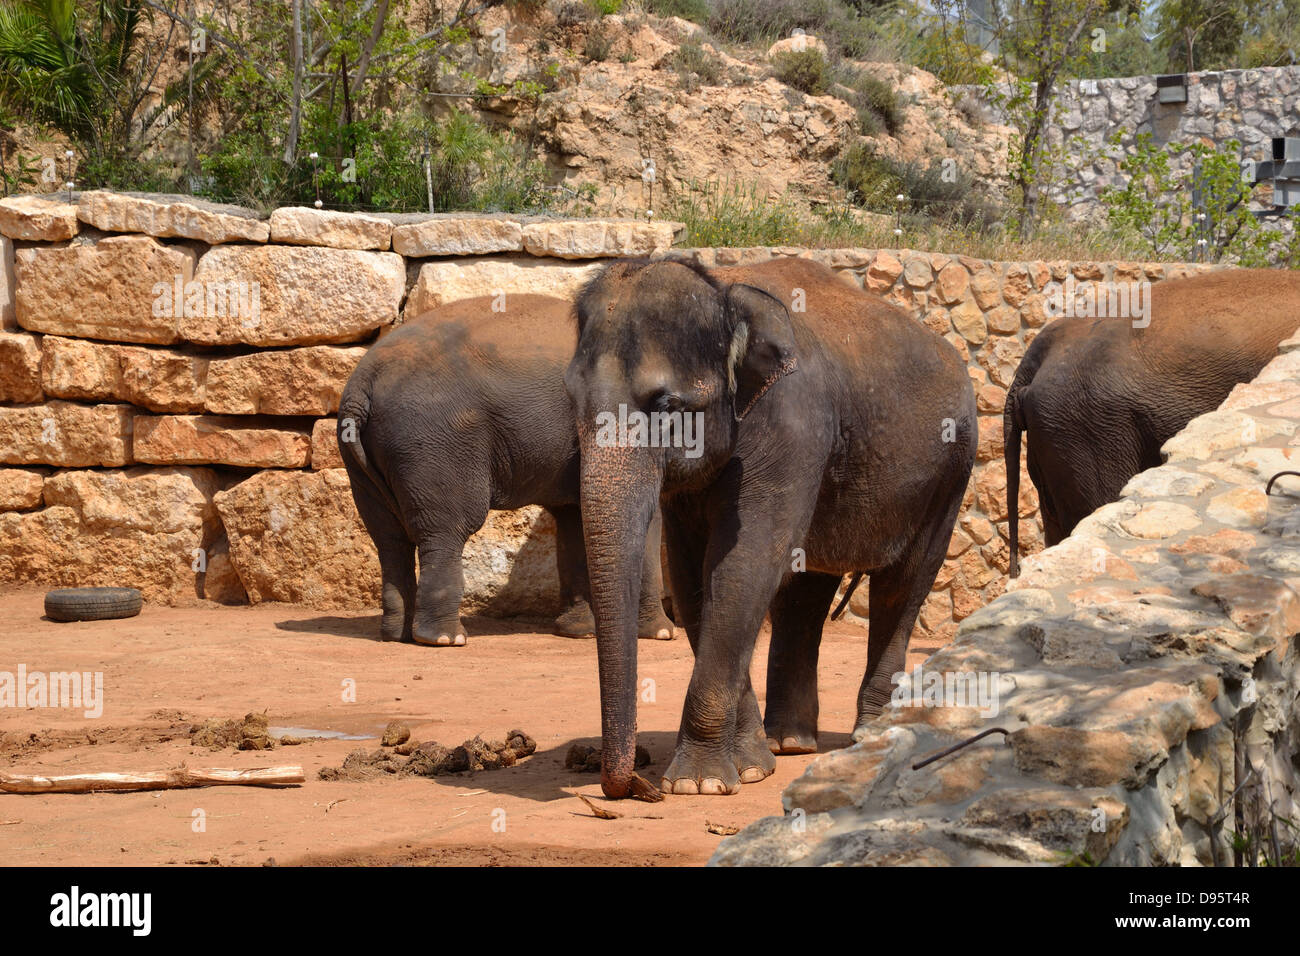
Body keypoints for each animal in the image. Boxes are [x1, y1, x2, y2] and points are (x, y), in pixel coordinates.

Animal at [337, 293, 677, 646]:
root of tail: (363, 383)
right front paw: (660, 633)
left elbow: (575, 517)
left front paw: (579, 632)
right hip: (431, 443)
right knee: (446, 529)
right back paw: (445, 638)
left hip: (363, 456)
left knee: (388, 537)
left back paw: (396, 635)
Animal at [563, 256, 977, 798]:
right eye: (572, 403)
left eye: (667, 406)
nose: (630, 785)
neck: (723, 289)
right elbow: (695, 577)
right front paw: (749, 767)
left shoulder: (792, 426)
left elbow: (744, 566)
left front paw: (698, 784)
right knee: (804, 593)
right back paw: (790, 743)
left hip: (951, 469)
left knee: (902, 585)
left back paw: (871, 737)